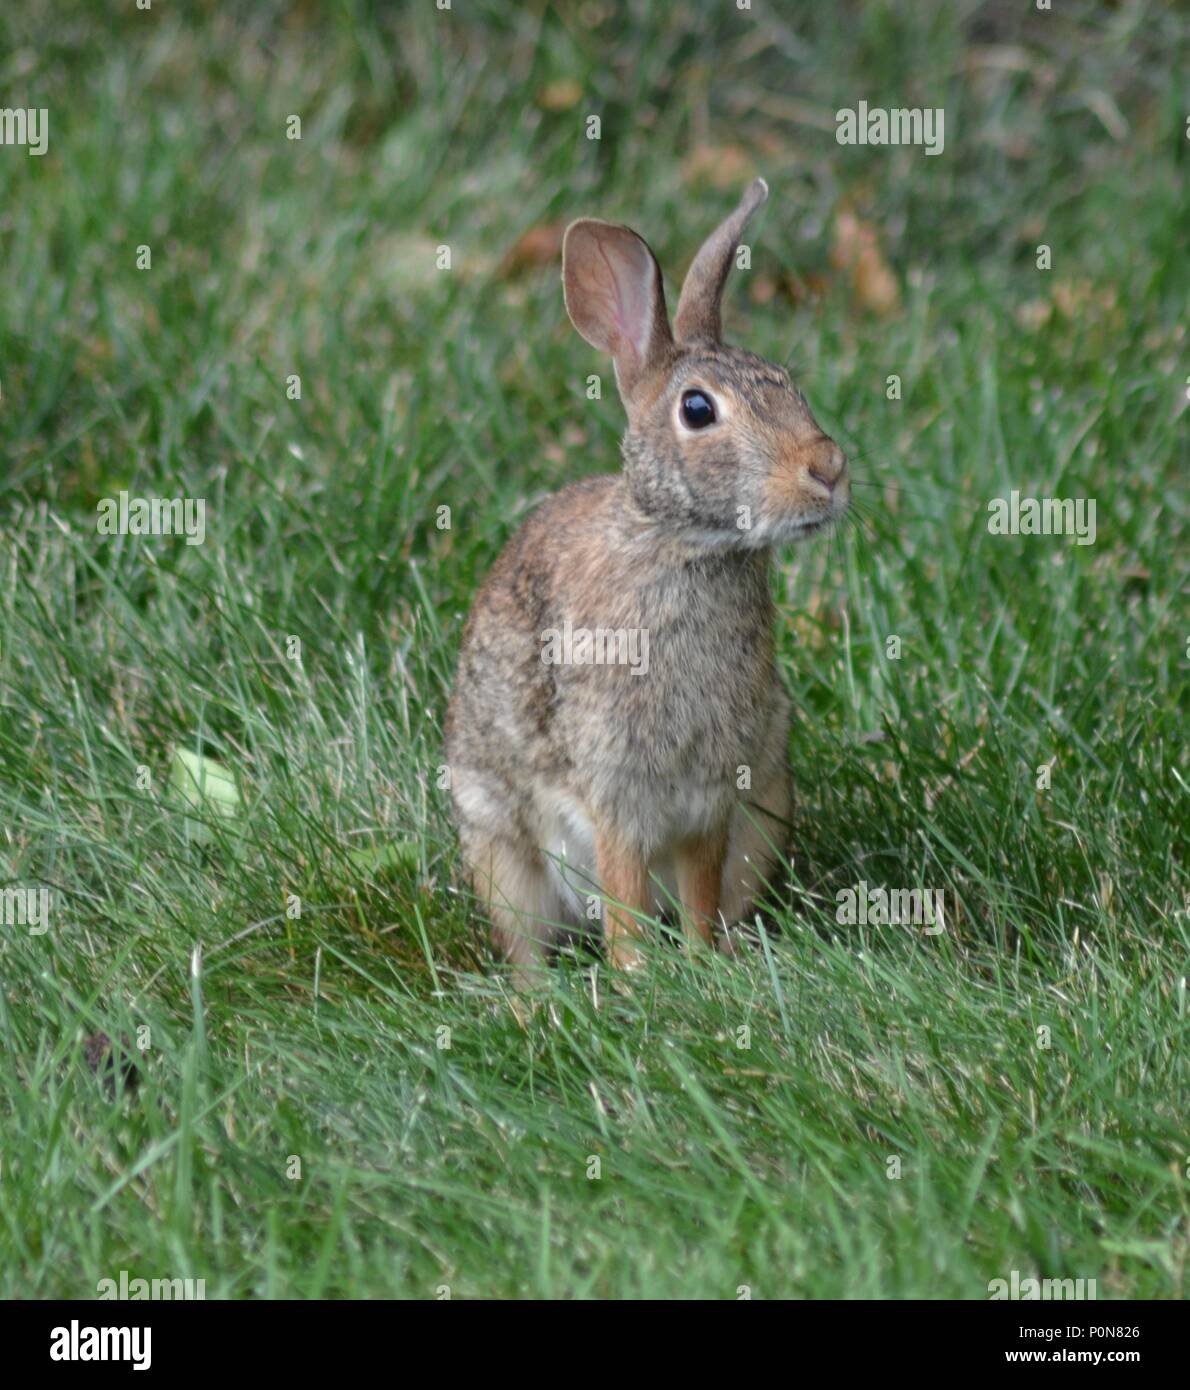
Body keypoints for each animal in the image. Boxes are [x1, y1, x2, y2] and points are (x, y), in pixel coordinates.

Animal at [445, 178, 849, 991]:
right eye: (698, 409)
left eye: (789, 385)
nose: (828, 468)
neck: (684, 545)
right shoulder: (615, 794)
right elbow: (625, 892)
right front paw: (637, 977)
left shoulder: (714, 799)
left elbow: (698, 889)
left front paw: (696, 964)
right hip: (499, 844)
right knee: (523, 936)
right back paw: (532, 999)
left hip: (770, 801)